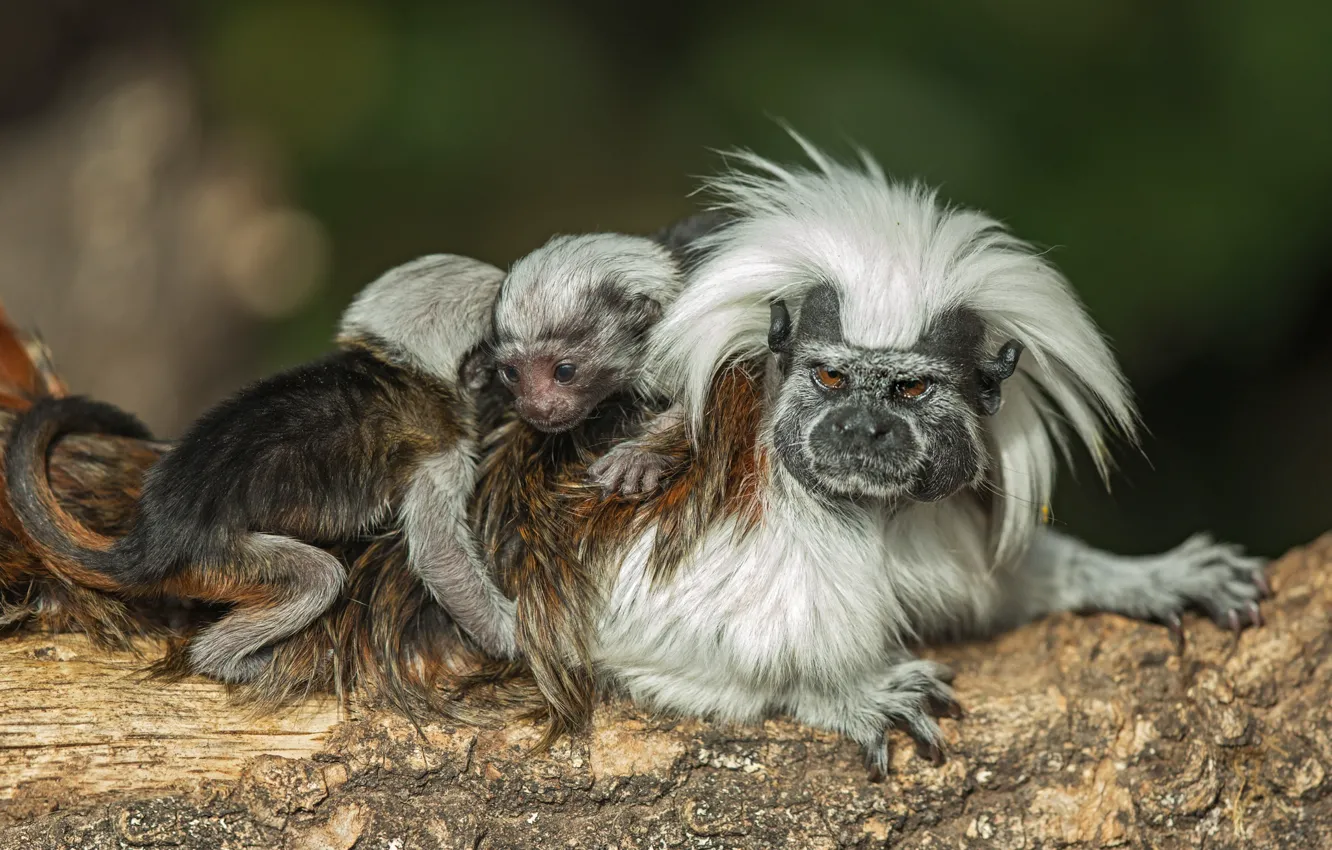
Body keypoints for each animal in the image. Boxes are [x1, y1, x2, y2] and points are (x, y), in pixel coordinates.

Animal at [3, 254, 519, 683]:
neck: (401, 365)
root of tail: (153, 541)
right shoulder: (446, 450)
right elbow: (438, 555)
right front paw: (514, 641)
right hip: (220, 561)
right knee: (317, 576)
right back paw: (227, 662)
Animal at [473, 139, 1270, 779]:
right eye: (831, 377)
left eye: (909, 388)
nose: (861, 429)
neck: (872, 514)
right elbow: (613, 635)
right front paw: (839, 690)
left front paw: (1144, 576)